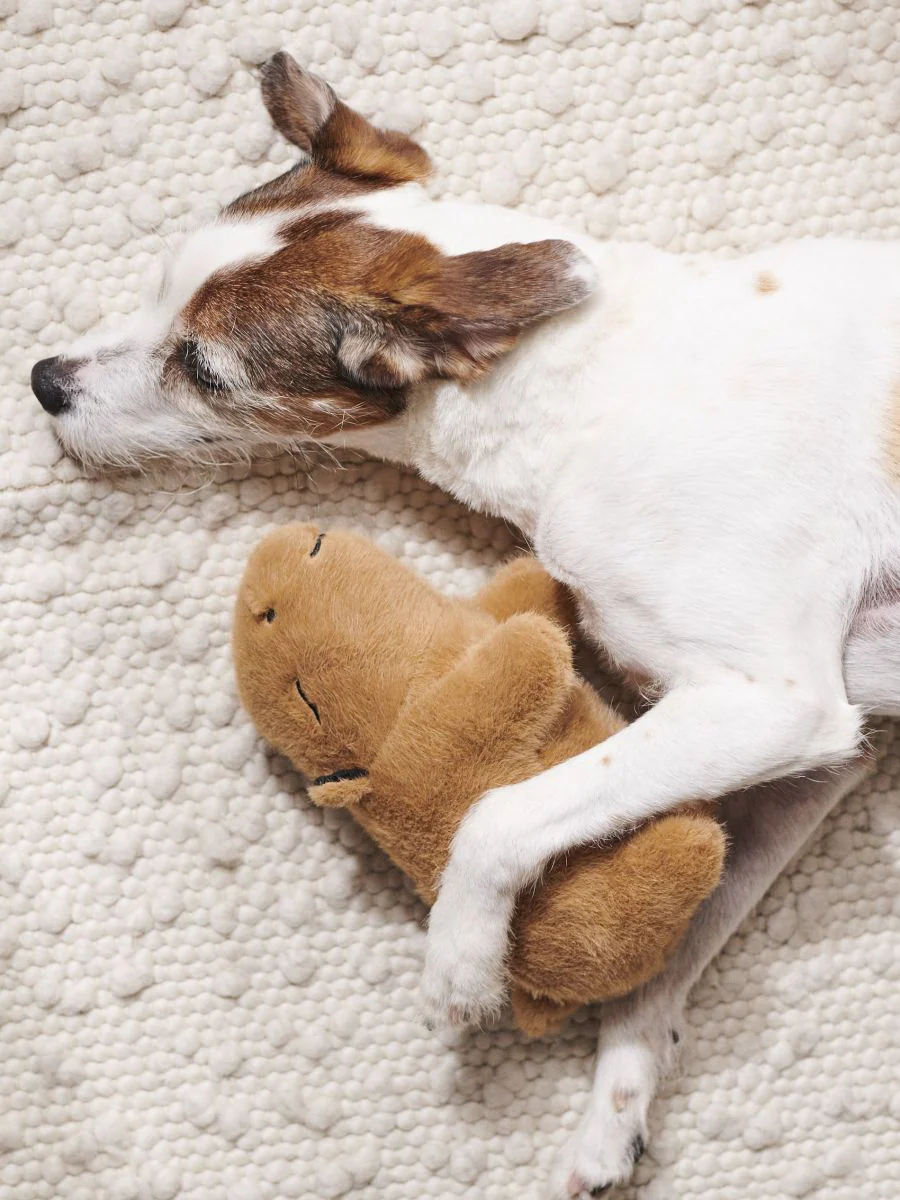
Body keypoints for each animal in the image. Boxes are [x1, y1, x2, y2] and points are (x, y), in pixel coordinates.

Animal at [31, 54, 900, 1200]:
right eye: (155, 285)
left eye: (207, 369)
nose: (43, 382)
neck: (579, 386)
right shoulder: (818, 755)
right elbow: (668, 950)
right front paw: (615, 1108)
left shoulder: (778, 703)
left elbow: (500, 810)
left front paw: (462, 958)